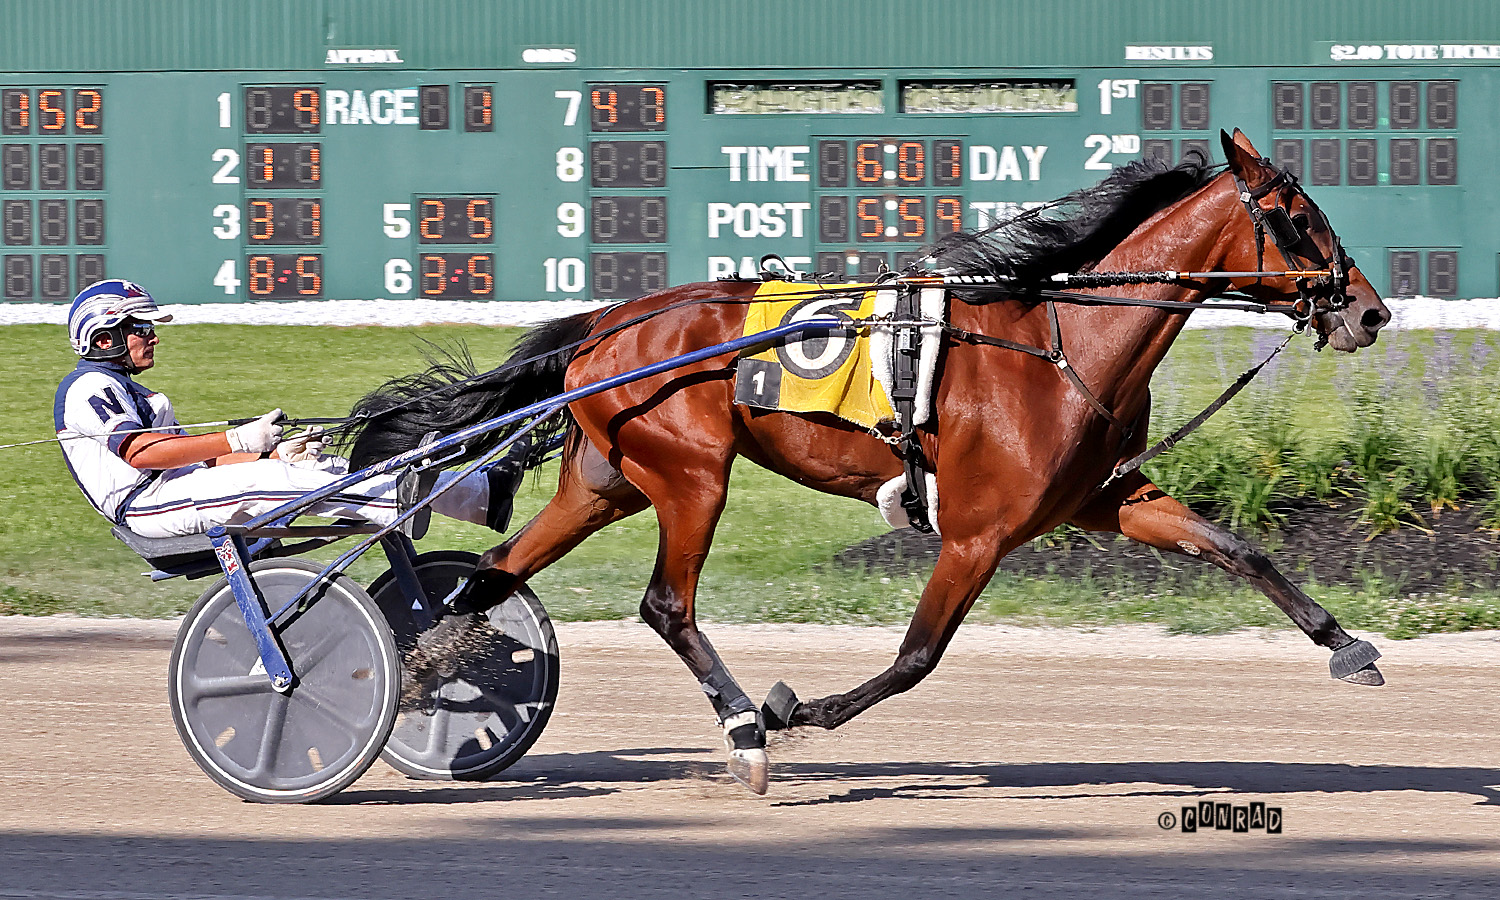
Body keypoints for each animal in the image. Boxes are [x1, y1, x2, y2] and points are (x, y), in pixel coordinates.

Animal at [345, 130, 1391, 794]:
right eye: (1299, 218)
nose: (1370, 310)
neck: (1059, 346)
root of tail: (611, 318)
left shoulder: (1101, 499)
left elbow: (1234, 546)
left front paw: (1347, 643)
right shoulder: (978, 533)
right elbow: (916, 657)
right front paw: (793, 710)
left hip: (607, 481)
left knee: (493, 572)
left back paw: (428, 664)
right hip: (693, 474)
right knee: (666, 604)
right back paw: (744, 731)